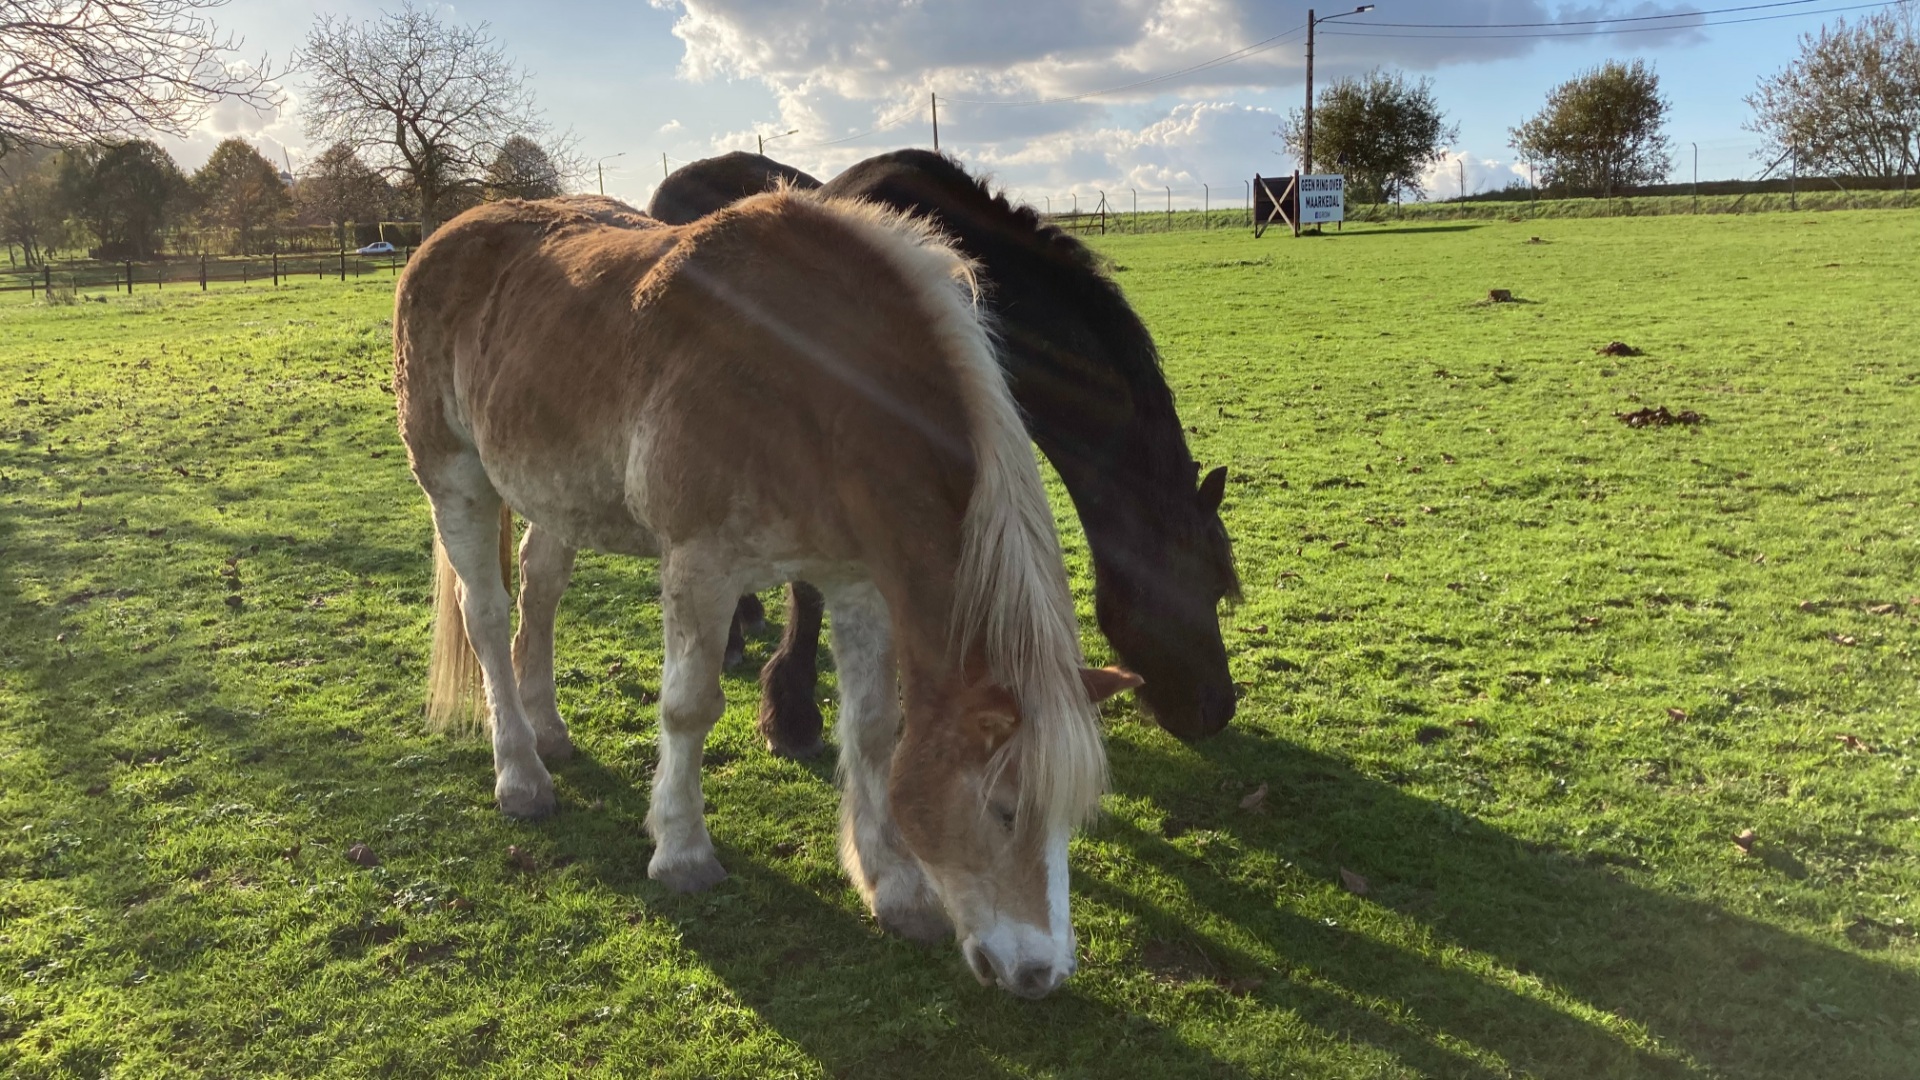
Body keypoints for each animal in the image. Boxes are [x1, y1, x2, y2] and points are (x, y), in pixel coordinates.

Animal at [392, 191, 1137, 997]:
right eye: (1003, 810)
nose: (1041, 973)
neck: (813, 384)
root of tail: (442, 237)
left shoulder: (861, 584)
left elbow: (873, 729)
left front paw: (895, 888)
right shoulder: (702, 565)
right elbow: (689, 709)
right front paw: (682, 852)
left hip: (555, 492)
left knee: (541, 590)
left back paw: (548, 731)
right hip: (453, 474)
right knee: (487, 616)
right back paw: (521, 774)